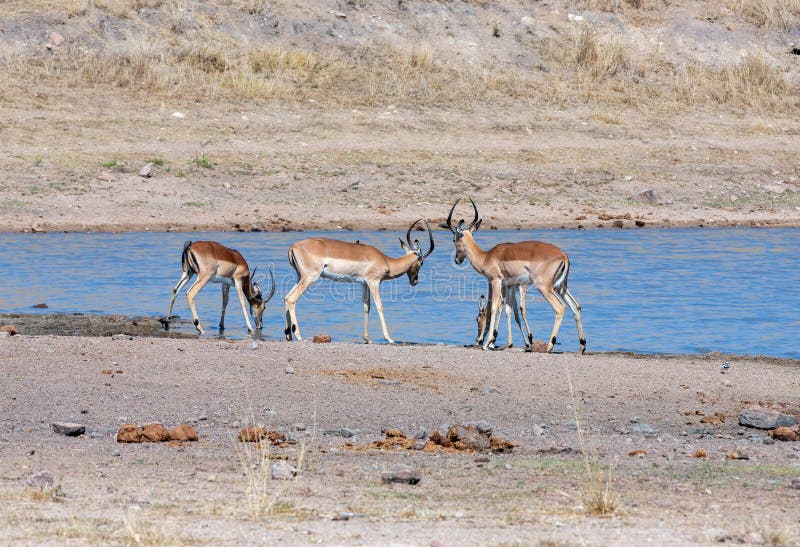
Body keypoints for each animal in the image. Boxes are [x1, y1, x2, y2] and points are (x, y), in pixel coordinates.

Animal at [284, 220, 434, 344]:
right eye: (421, 262)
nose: (415, 281)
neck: (386, 261)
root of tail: (293, 247)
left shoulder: (364, 283)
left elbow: (366, 307)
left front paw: (367, 338)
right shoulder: (374, 282)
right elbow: (379, 306)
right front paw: (389, 338)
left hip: (300, 277)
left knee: (286, 297)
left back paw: (288, 335)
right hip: (310, 277)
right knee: (292, 299)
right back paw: (298, 336)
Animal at [441, 198, 586, 353]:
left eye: (454, 239)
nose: (458, 259)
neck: (486, 256)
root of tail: (563, 255)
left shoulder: (495, 281)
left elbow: (494, 307)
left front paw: (487, 343)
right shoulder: (510, 285)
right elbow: (509, 310)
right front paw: (506, 343)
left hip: (544, 287)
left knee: (560, 308)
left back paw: (549, 345)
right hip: (561, 287)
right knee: (576, 306)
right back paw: (582, 346)